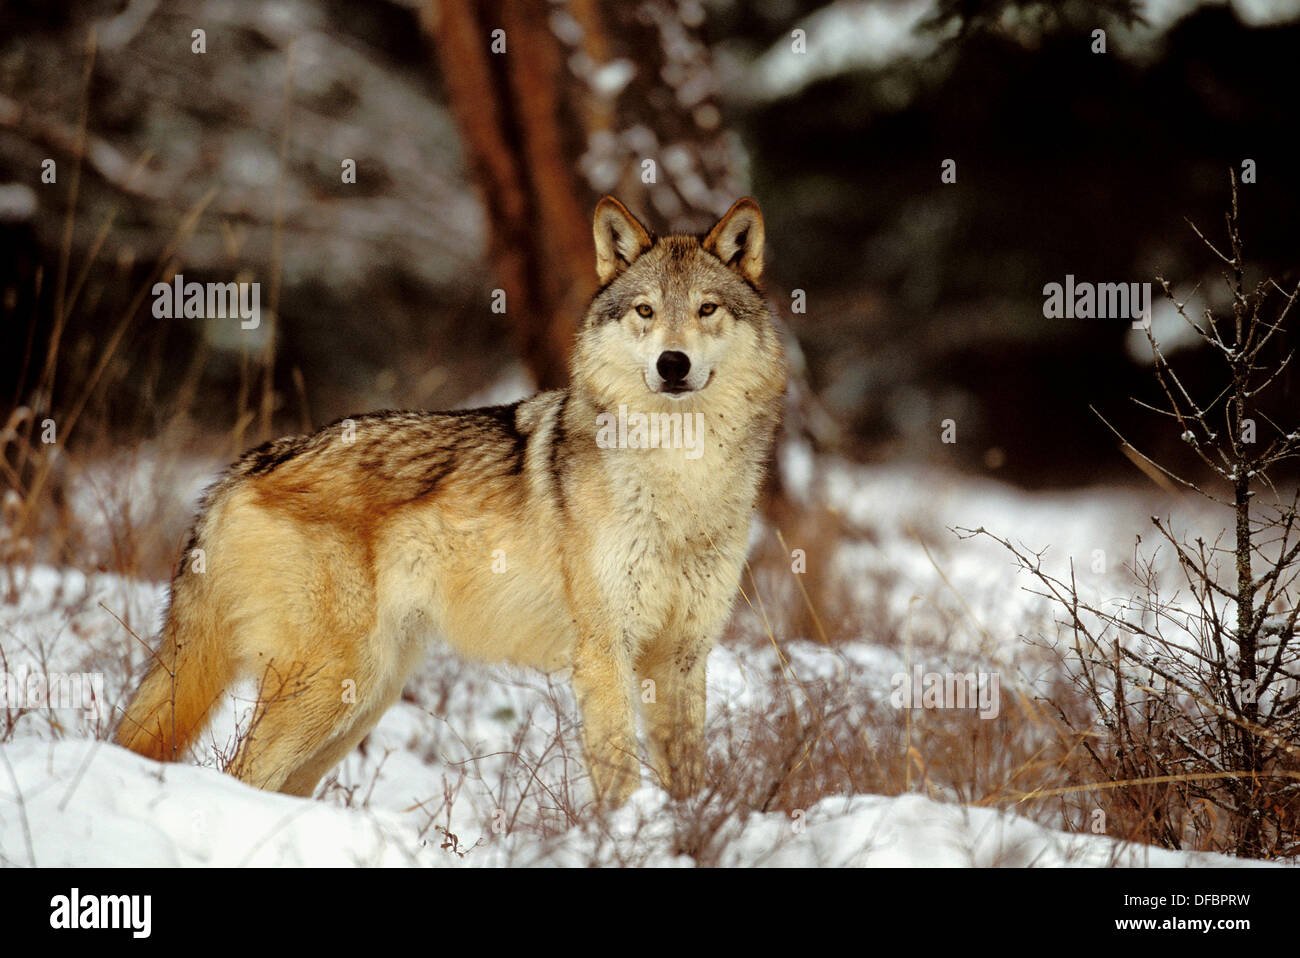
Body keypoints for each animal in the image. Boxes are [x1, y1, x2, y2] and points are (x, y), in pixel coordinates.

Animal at [115, 196, 788, 808]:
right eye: (646, 311)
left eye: (706, 309)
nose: (672, 364)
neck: (681, 480)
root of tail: (243, 467)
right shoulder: (605, 652)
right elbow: (619, 779)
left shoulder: (683, 658)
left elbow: (689, 779)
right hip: (332, 684)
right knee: (239, 775)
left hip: (362, 699)